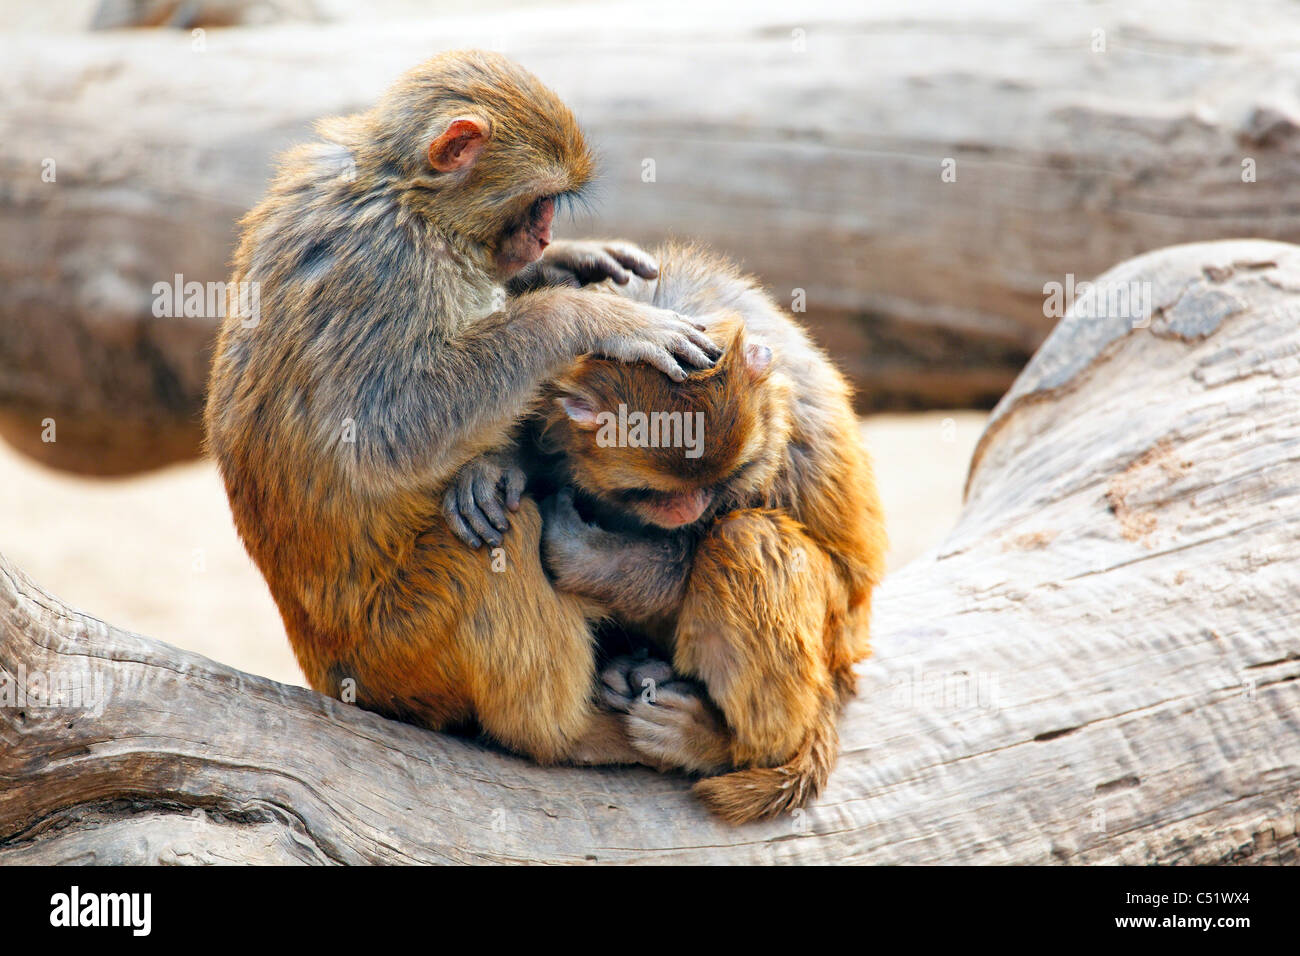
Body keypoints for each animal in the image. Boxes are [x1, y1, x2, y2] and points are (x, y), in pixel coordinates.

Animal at [204, 50, 724, 769]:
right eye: (539, 201)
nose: (546, 238)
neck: (407, 195)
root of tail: (327, 672)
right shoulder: (388, 264)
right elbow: (386, 432)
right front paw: (588, 315)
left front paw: (576, 264)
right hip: (401, 649)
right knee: (497, 544)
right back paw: (566, 734)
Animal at [515, 243, 888, 823]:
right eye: (647, 492)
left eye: (718, 483)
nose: (686, 510)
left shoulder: (784, 432)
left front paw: (595, 560)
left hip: (837, 641)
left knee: (746, 541)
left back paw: (729, 744)